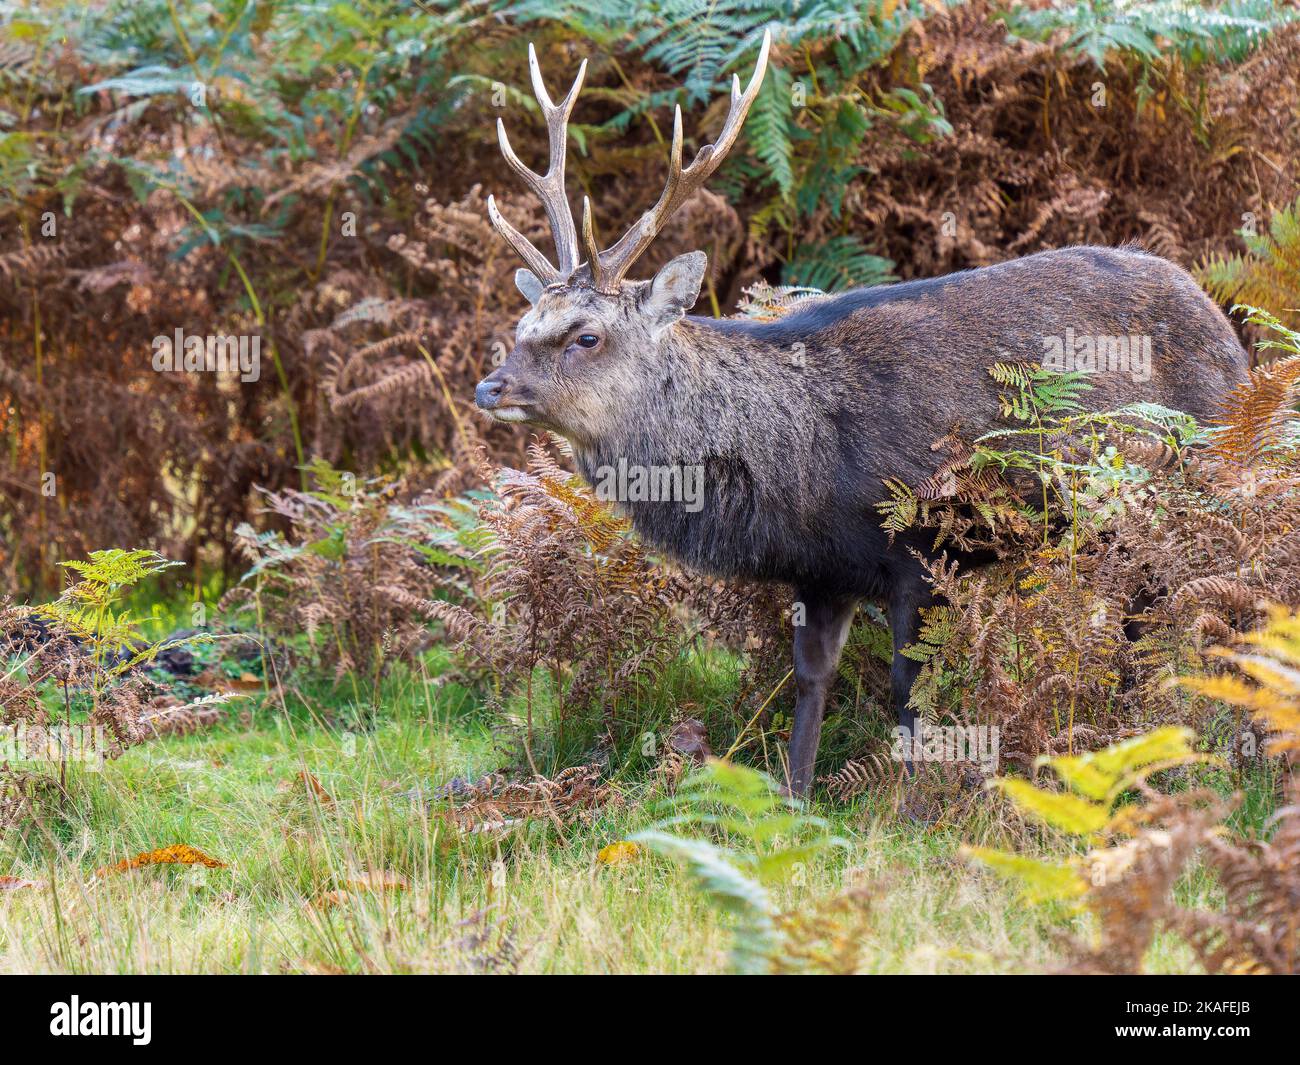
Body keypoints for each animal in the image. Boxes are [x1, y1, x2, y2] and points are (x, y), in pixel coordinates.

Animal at [473, 32, 1250, 795]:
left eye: (585, 336)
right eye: (522, 323)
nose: (490, 387)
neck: (803, 472)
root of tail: (1224, 324)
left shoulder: (926, 543)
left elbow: (911, 690)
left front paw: (914, 808)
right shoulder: (820, 571)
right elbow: (810, 680)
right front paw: (796, 796)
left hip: (1188, 480)